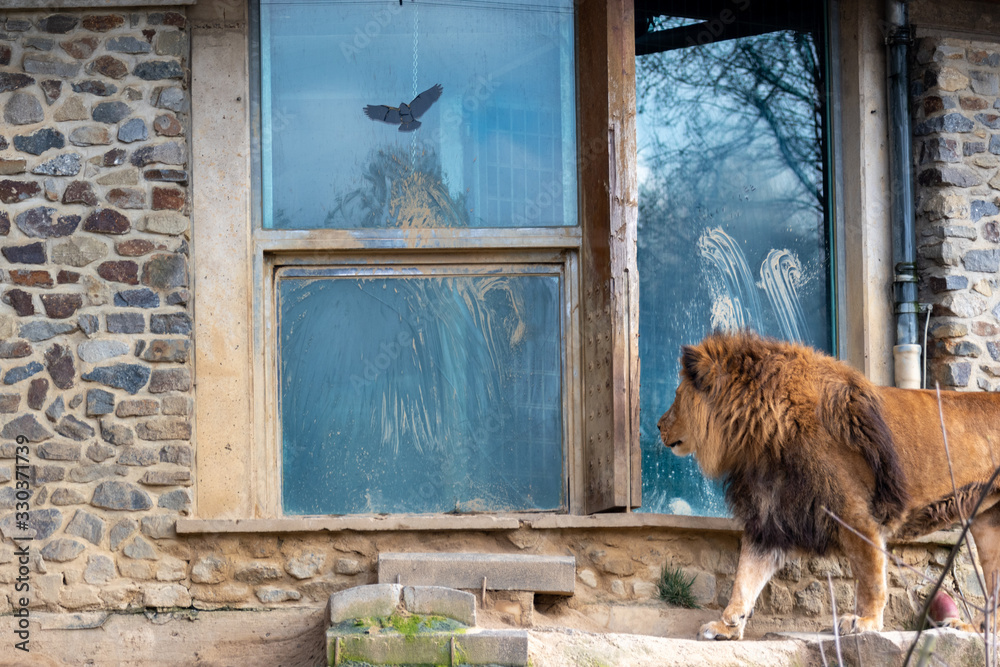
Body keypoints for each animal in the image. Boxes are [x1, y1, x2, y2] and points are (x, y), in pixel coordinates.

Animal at [657, 331, 1000, 640]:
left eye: (676, 394)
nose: (658, 425)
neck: (762, 439)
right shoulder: (771, 520)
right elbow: (745, 577)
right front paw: (727, 626)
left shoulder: (856, 513)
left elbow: (870, 576)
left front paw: (864, 622)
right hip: (988, 525)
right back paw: (975, 629)